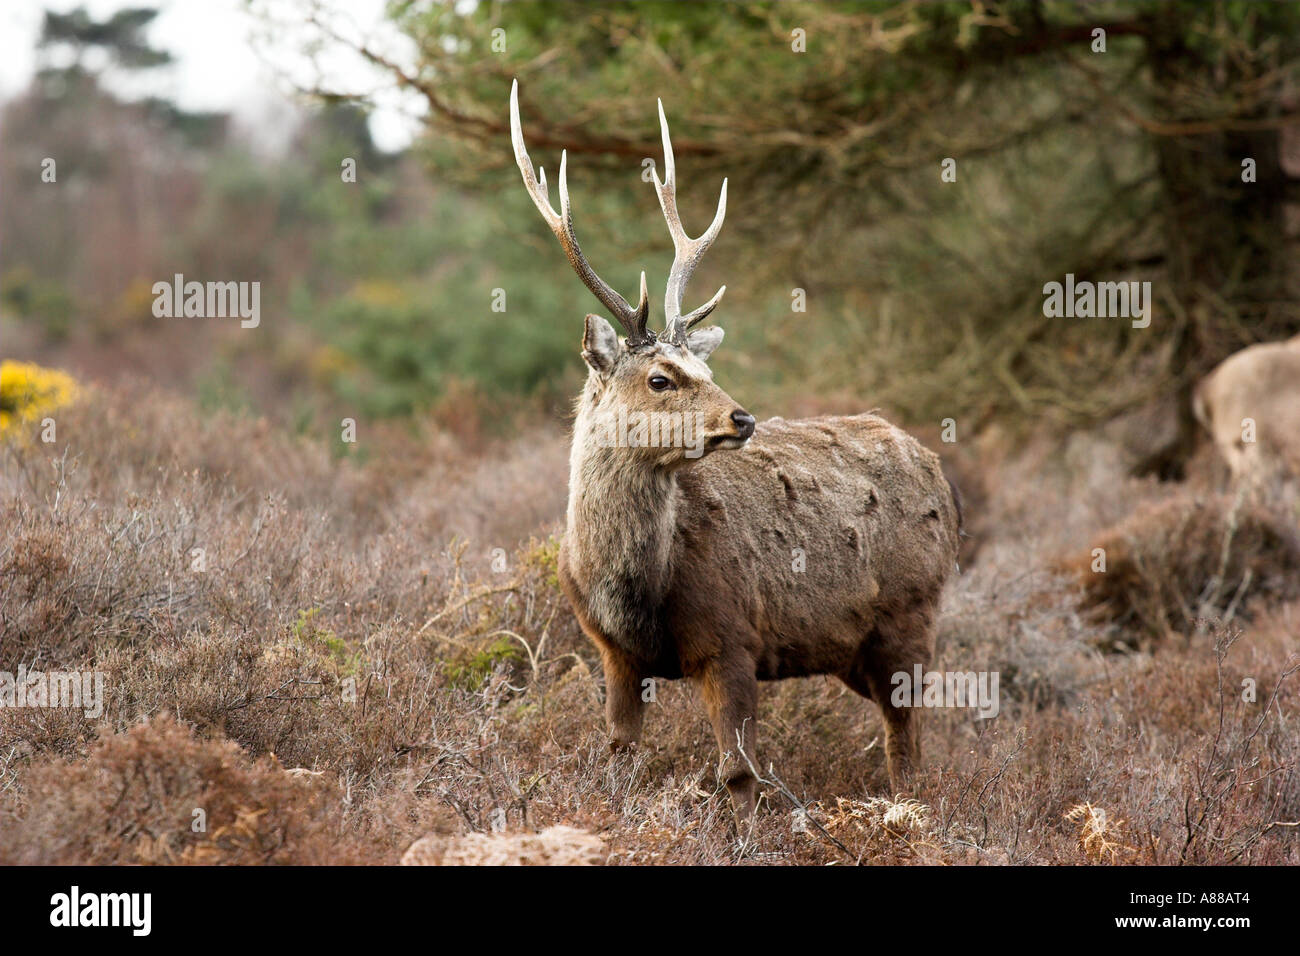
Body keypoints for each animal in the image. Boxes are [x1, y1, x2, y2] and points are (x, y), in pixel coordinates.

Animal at [509, 80, 962, 818]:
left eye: (706, 367)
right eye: (661, 378)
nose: (742, 417)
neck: (633, 585)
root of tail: (943, 480)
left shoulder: (732, 638)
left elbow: (739, 773)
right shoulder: (613, 653)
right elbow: (618, 754)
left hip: (910, 615)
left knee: (909, 742)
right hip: (852, 650)